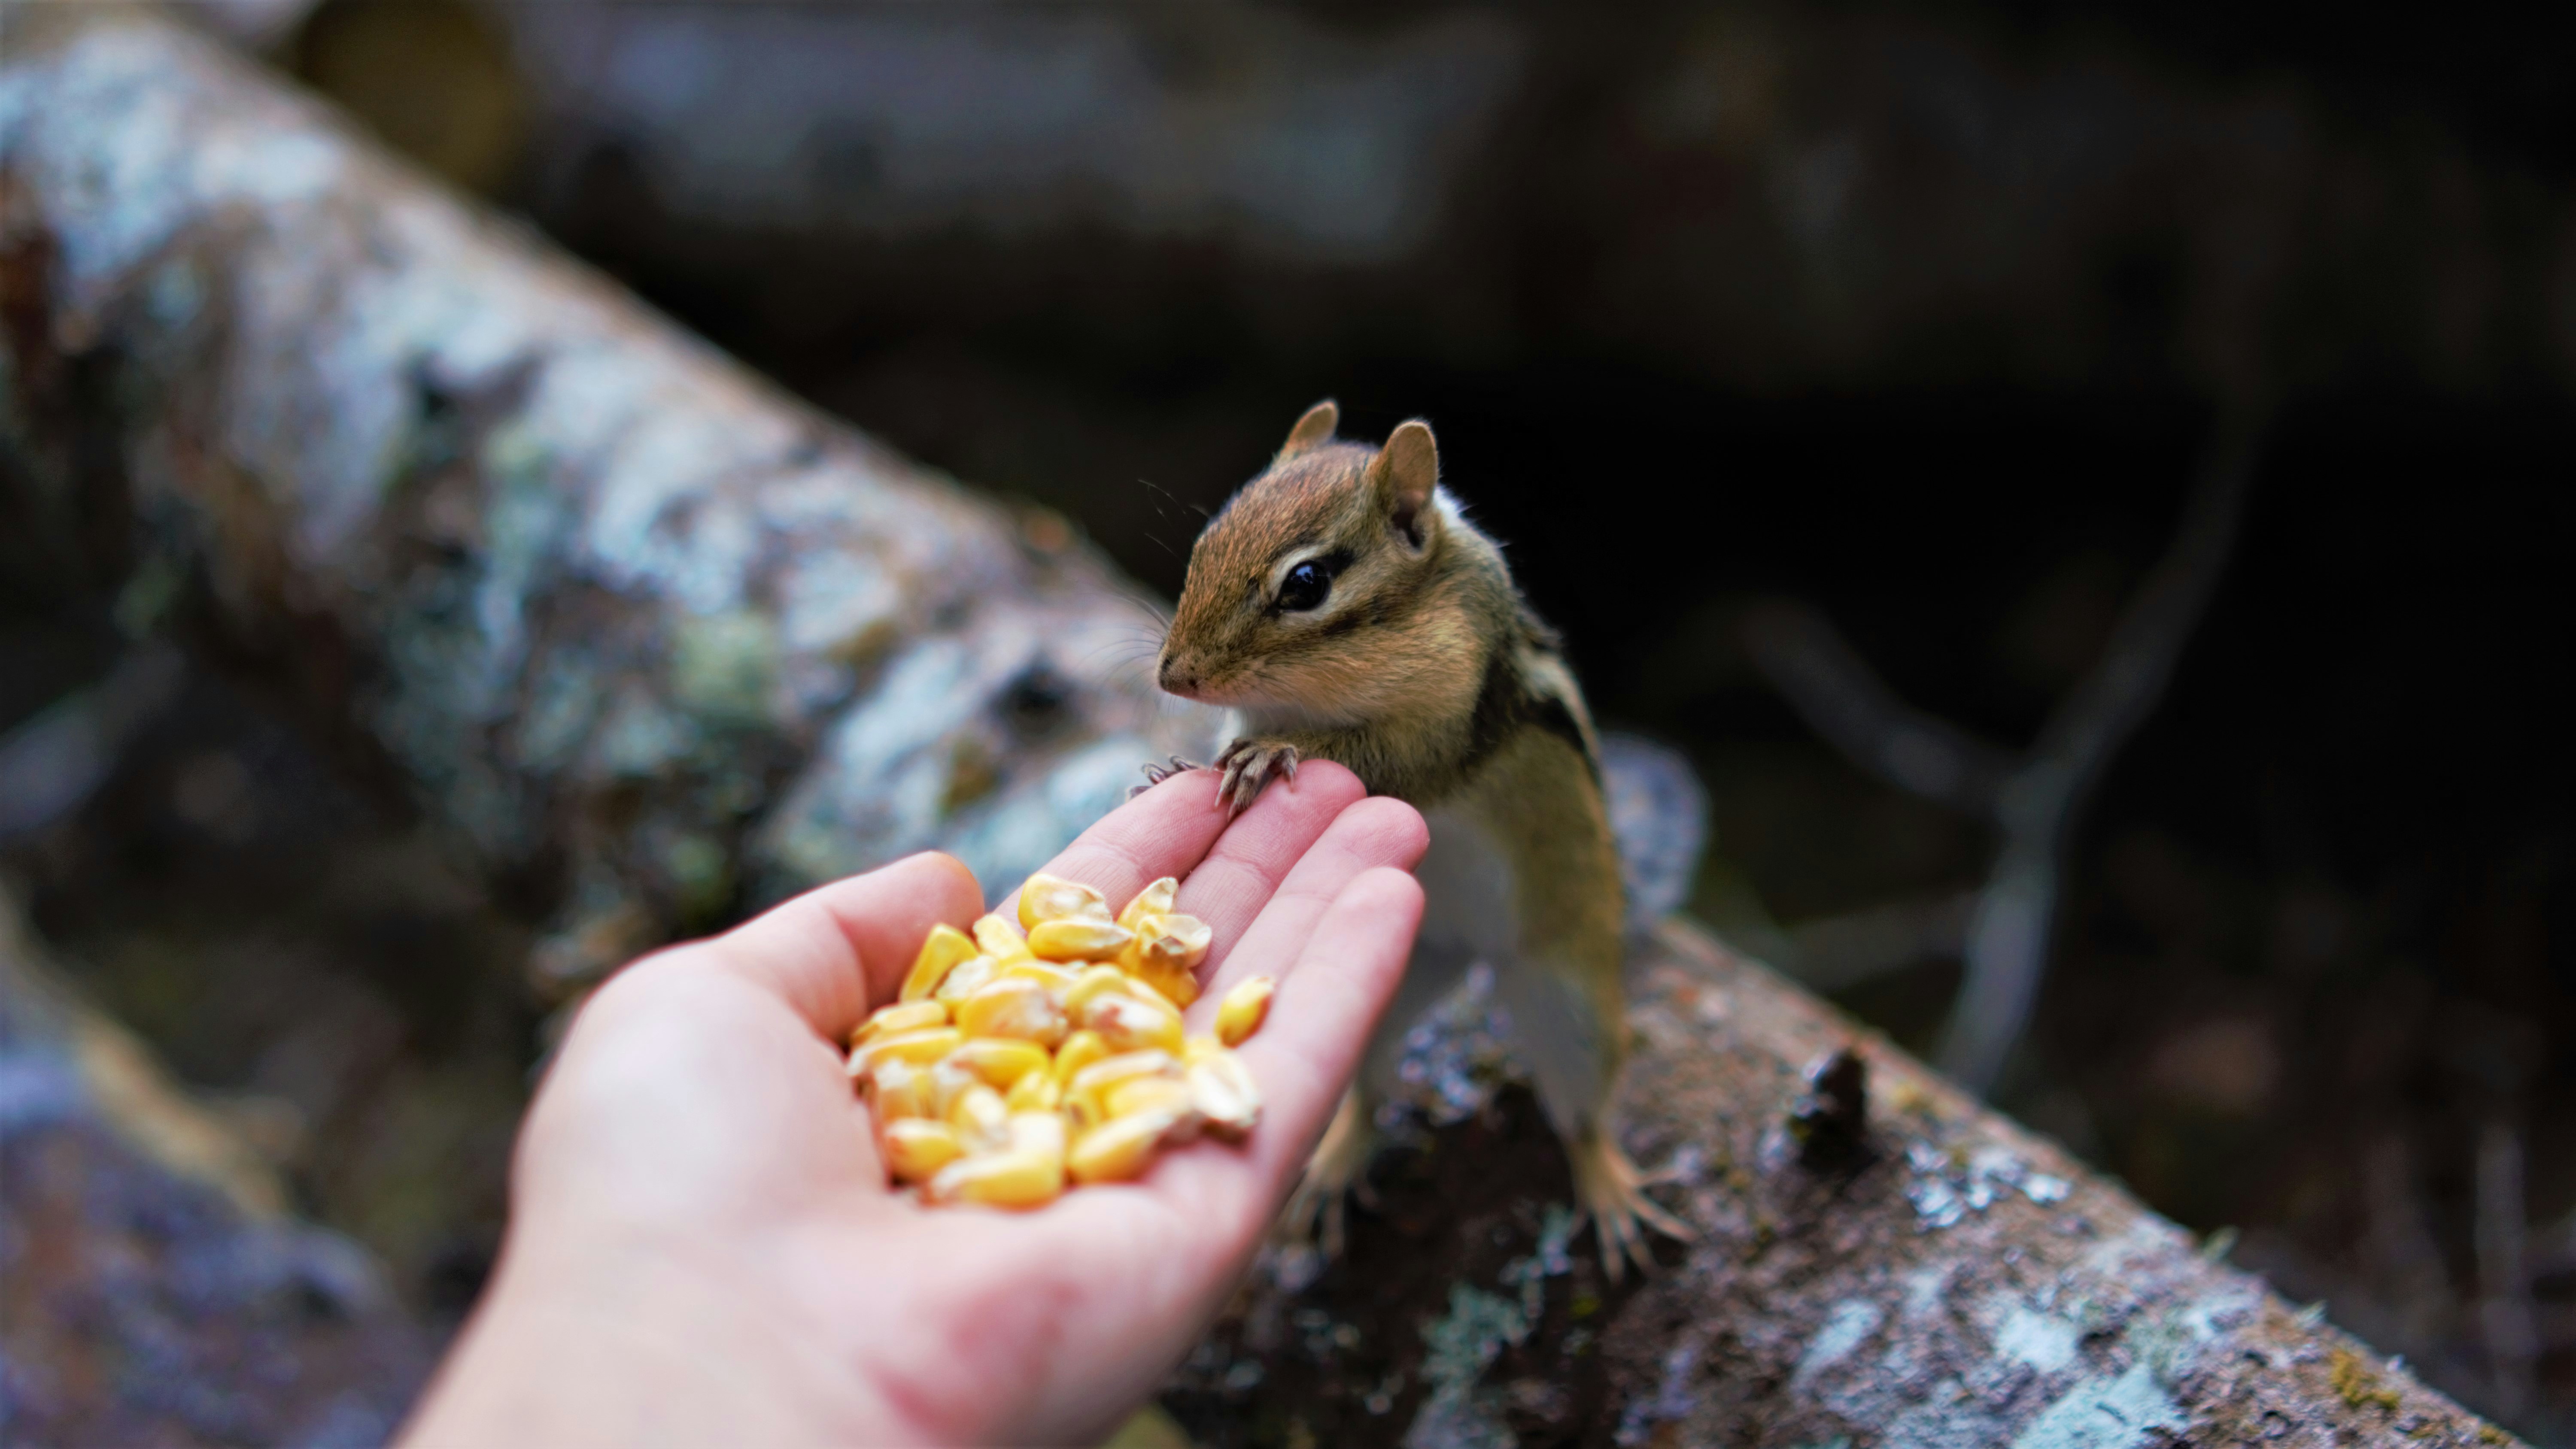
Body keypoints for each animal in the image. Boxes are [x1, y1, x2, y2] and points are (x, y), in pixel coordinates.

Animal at [1147, 400, 1693, 1276]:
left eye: (1307, 584)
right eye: (1205, 543)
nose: (1174, 676)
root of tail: (1467, 950)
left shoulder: (1447, 725)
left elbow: (1378, 758)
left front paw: (1275, 754)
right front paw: (1172, 771)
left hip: (1568, 992)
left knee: (1581, 1110)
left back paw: (1612, 1193)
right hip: (1391, 992)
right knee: (1370, 1091)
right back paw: (1332, 1166)